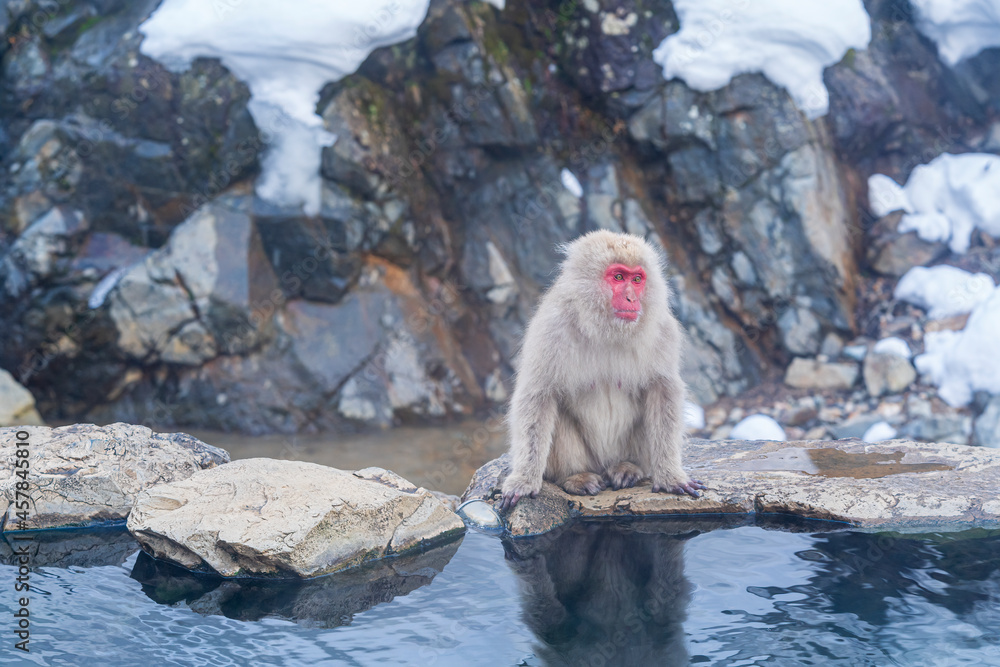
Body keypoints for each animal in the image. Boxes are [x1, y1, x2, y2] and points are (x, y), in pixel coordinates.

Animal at [499, 229, 704, 511]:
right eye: (618, 277)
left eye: (637, 279)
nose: (632, 298)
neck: (606, 328)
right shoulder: (551, 328)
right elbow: (537, 396)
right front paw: (523, 479)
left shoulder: (663, 330)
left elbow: (662, 390)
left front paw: (670, 477)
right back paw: (575, 477)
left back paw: (629, 468)